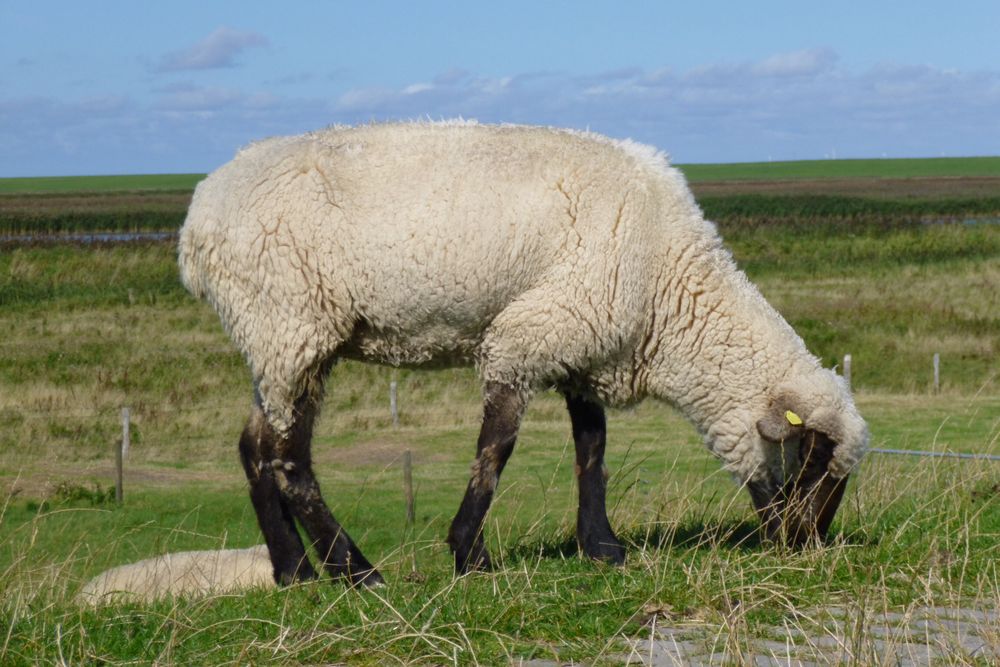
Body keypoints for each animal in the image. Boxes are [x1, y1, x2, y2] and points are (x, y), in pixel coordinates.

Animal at [178, 121, 868, 588]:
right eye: (814, 463)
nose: (807, 546)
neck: (670, 294)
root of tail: (197, 221)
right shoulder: (530, 333)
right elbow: (497, 448)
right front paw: (469, 554)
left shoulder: (585, 342)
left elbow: (592, 448)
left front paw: (601, 547)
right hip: (291, 324)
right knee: (289, 459)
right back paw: (355, 571)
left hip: (274, 341)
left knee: (255, 447)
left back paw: (294, 571)